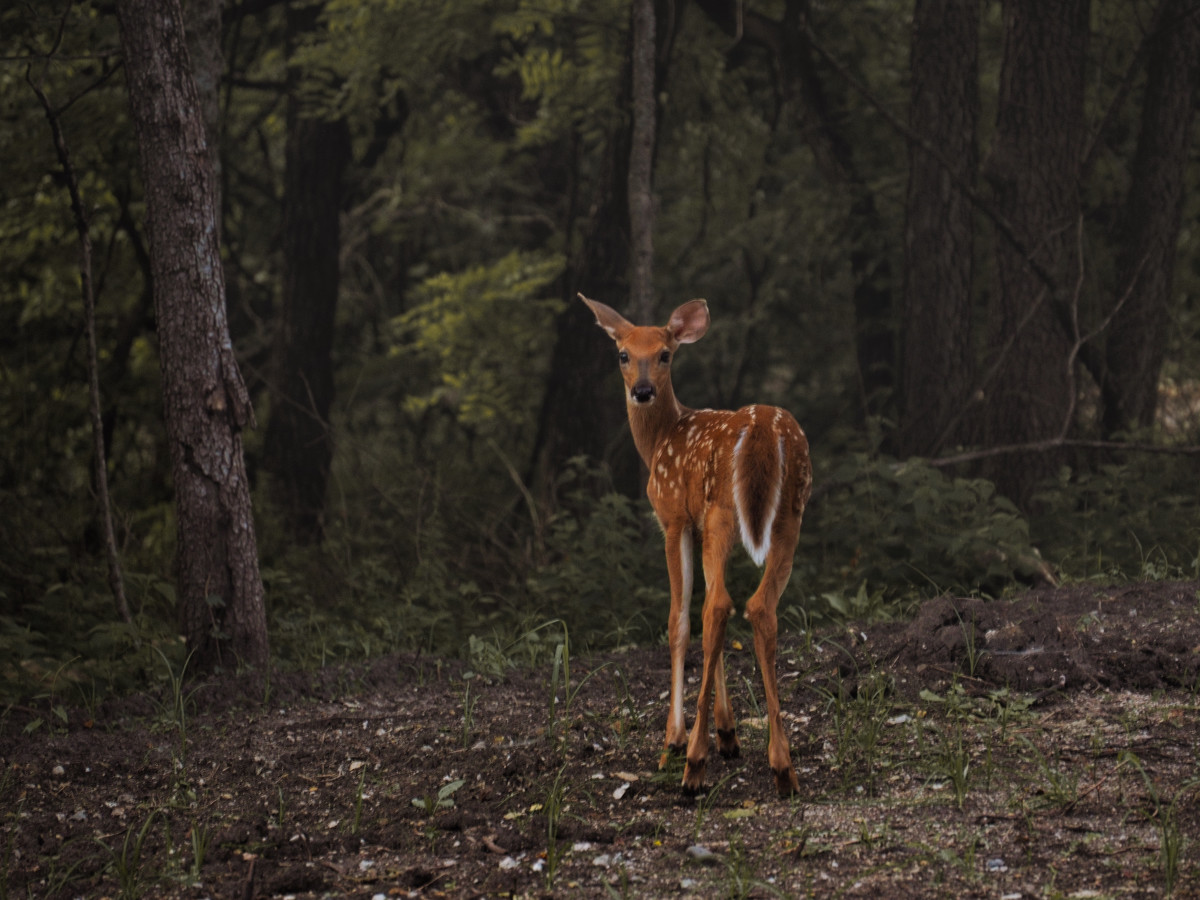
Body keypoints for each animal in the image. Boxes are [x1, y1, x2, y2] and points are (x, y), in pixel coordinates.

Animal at [580, 293, 812, 797]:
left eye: (665, 354)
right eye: (623, 354)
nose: (642, 391)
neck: (660, 441)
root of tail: (763, 430)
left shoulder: (675, 518)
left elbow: (679, 621)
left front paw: (675, 738)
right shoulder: (701, 527)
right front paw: (728, 733)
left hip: (723, 509)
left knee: (720, 606)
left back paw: (693, 765)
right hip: (789, 516)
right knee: (757, 606)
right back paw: (782, 767)